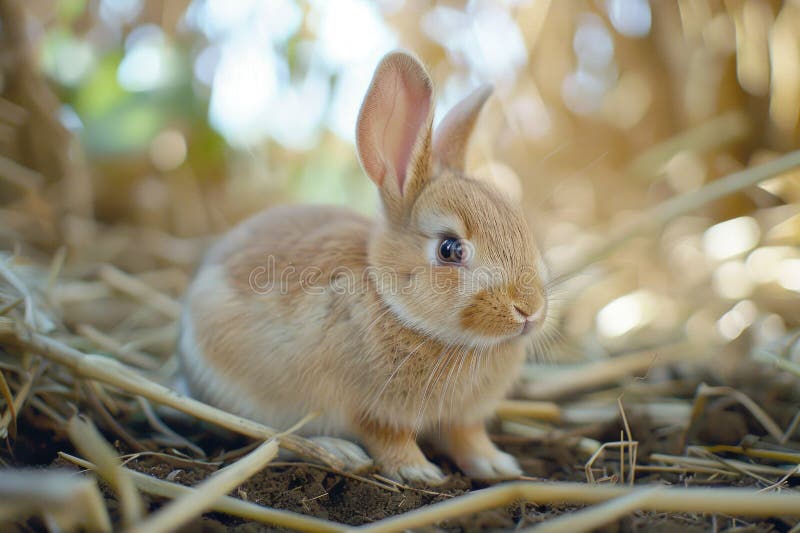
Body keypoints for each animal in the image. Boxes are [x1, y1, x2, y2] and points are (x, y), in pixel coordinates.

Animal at [178, 51, 550, 485]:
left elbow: (469, 438)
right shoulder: (372, 412)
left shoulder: (462, 418)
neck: (395, 305)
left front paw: (498, 465)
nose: (529, 310)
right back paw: (338, 451)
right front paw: (420, 472)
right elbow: (390, 441)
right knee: (265, 436)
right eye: (449, 249)